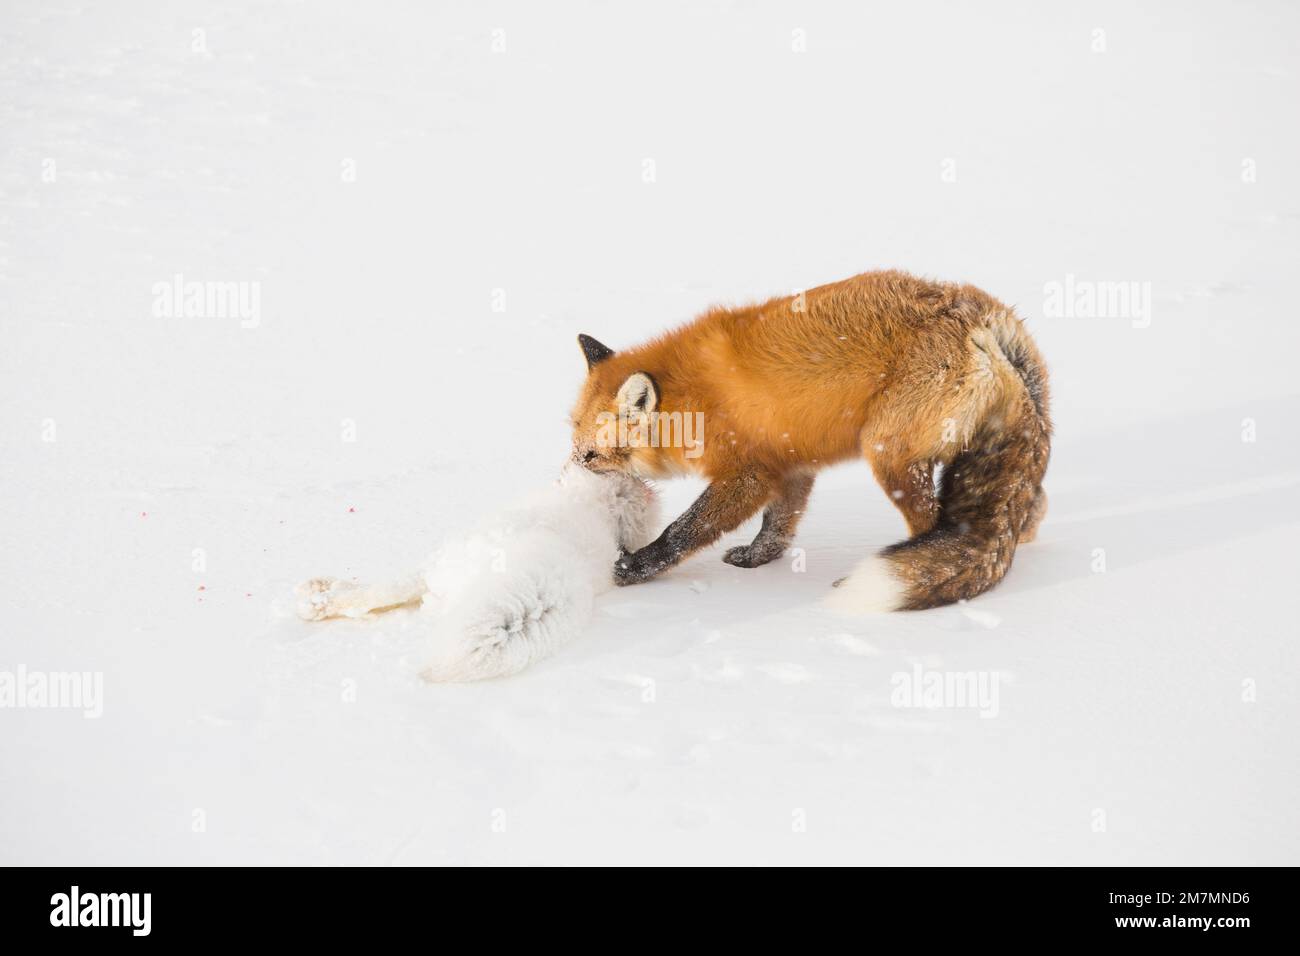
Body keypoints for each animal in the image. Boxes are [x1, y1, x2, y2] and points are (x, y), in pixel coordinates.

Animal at [569, 269, 1051, 611]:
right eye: (573, 444)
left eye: (590, 455)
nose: (567, 480)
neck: (690, 400)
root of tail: (979, 320)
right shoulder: (789, 463)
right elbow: (778, 526)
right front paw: (756, 560)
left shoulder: (747, 475)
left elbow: (684, 530)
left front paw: (633, 568)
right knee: (1033, 508)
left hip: (887, 454)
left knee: (932, 527)